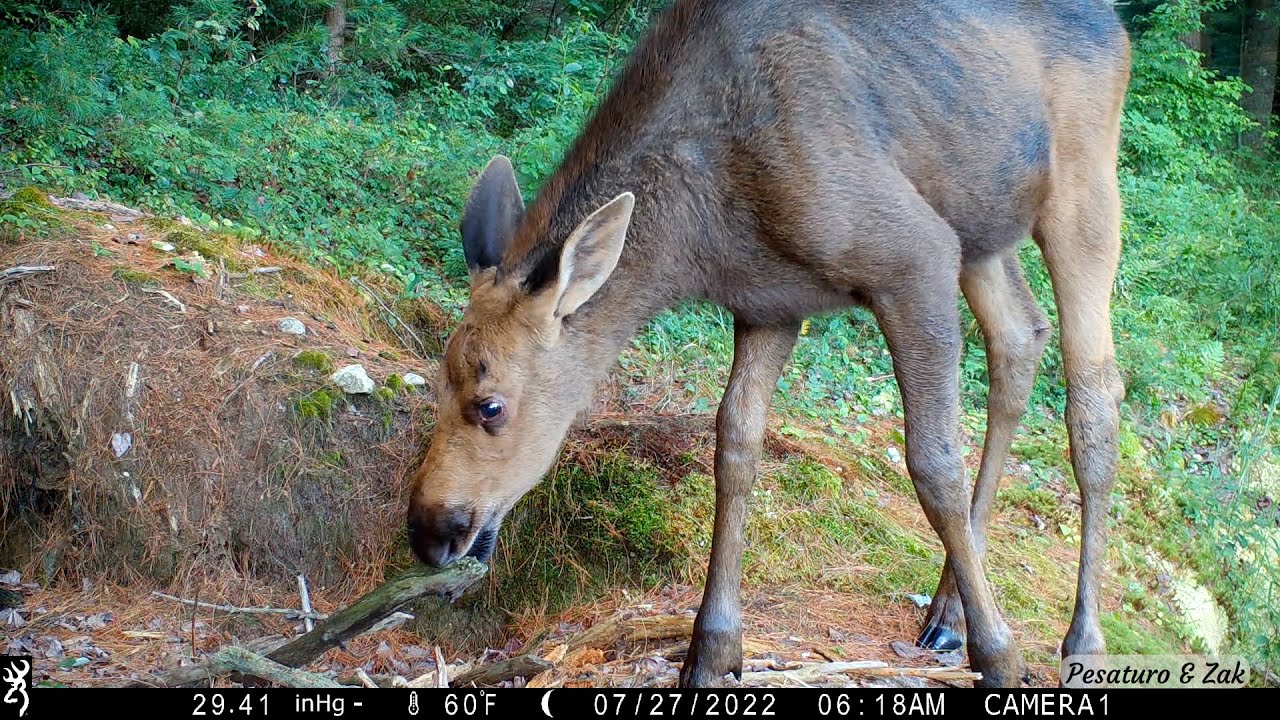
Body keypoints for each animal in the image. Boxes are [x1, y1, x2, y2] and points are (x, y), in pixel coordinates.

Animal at [406, 0, 1131, 688]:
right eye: (436, 382)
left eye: (491, 405)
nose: (428, 531)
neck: (701, 234)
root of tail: (1117, 27)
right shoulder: (772, 302)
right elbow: (734, 446)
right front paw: (713, 649)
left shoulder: (914, 256)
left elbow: (932, 464)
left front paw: (1000, 655)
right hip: (983, 226)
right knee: (1019, 338)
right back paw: (948, 611)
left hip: (1082, 192)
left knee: (1094, 400)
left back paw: (1081, 640)